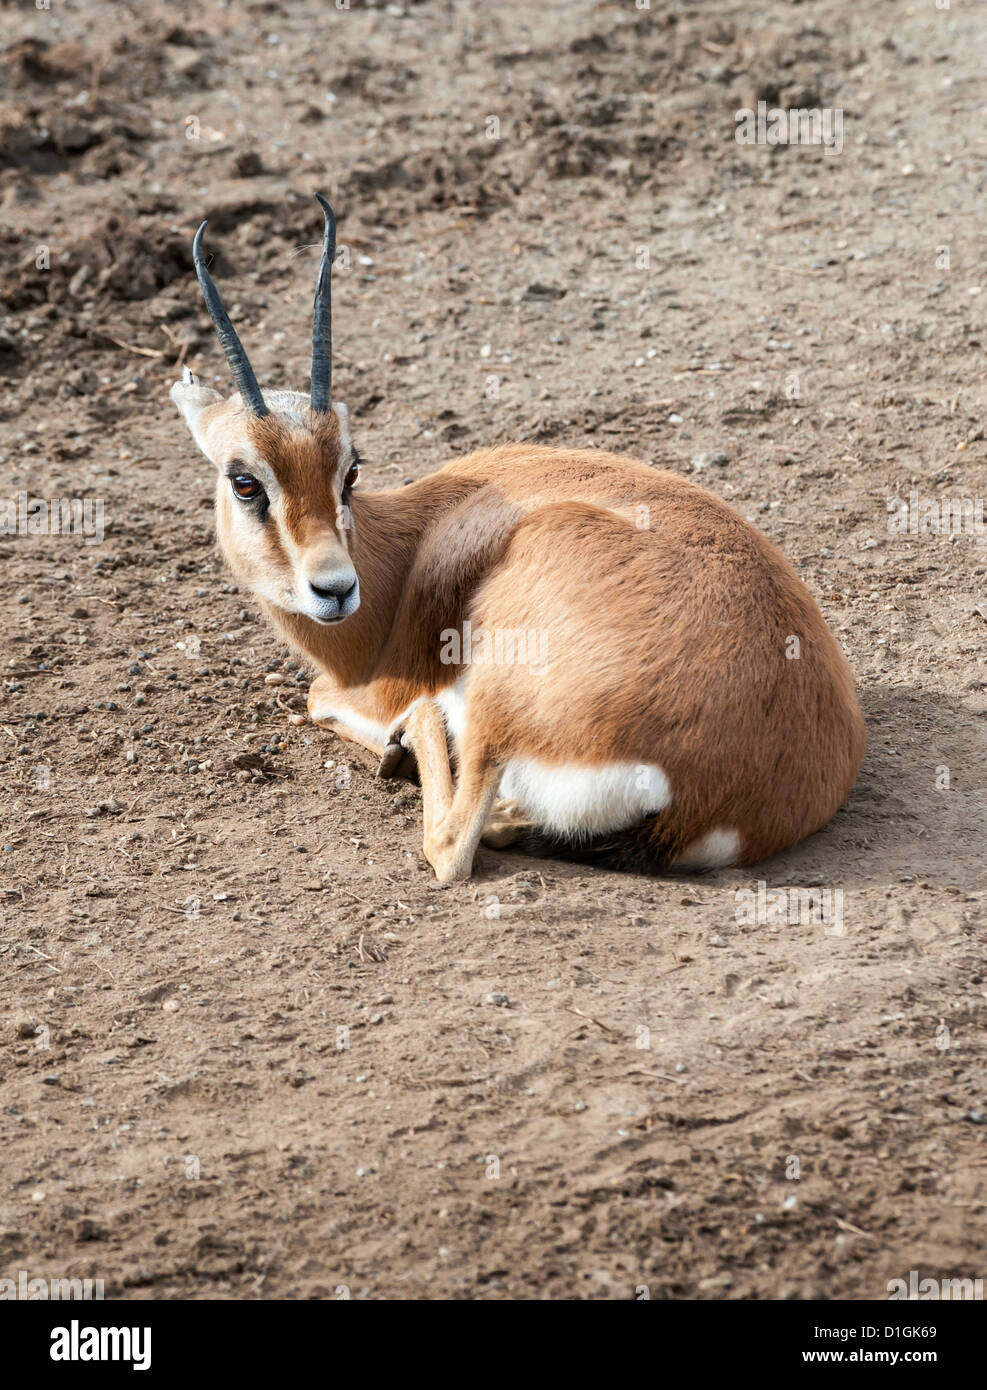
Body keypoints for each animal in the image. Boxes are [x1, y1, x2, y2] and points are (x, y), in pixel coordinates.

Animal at [171, 195, 866, 883]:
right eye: (245, 481)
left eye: (350, 470)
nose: (335, 590)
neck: (409, 549)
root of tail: (717, 796)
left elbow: (320, 697)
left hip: (493, 708)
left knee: (452, 841)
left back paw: (413, 742)